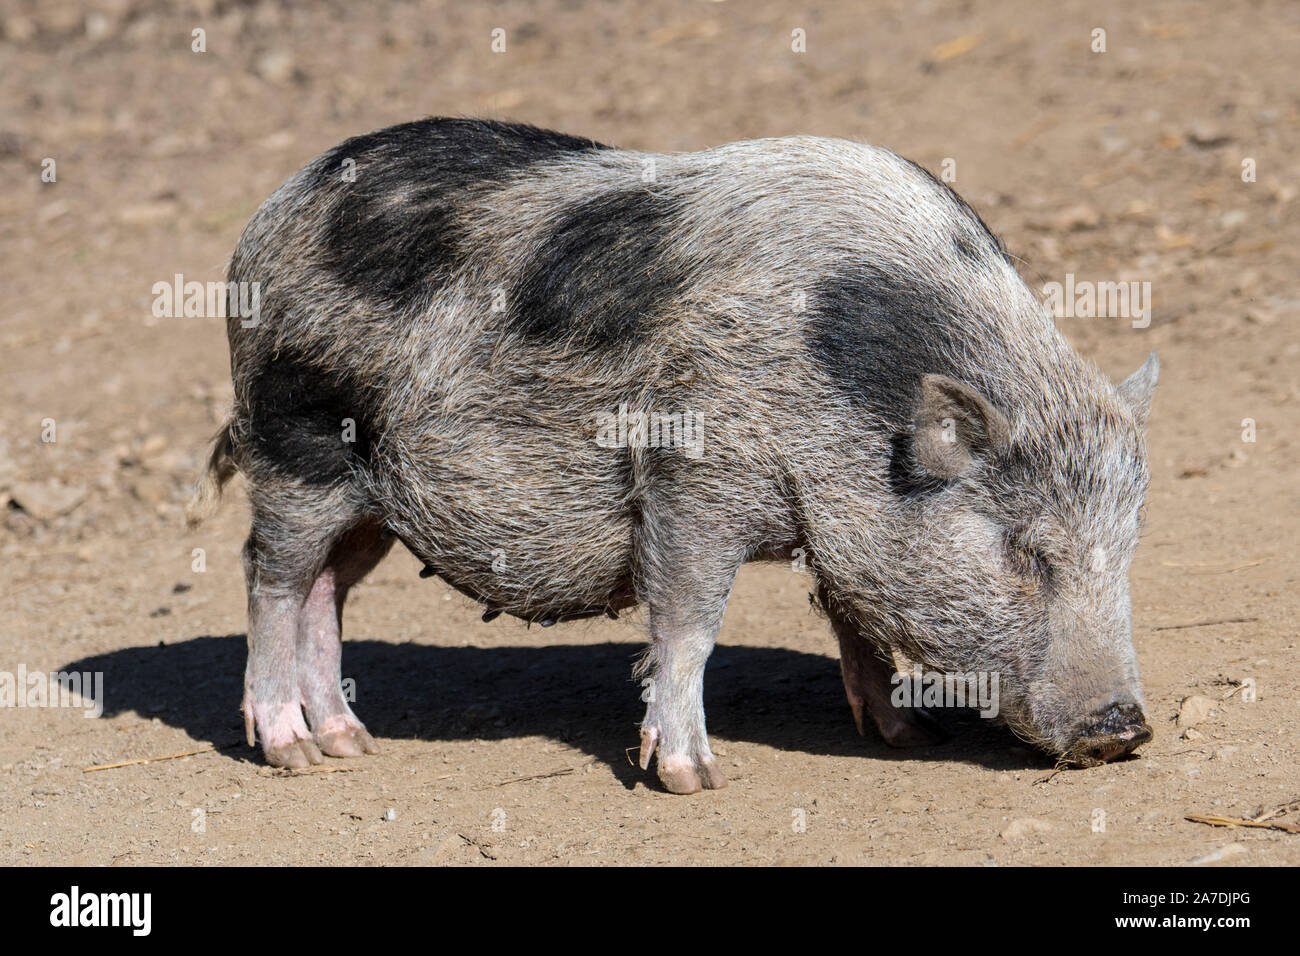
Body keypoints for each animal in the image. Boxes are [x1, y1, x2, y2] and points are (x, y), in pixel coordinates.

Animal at [188, 118, 1159, 793]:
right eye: (1024, 553)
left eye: (1128, 549)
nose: (1128, 729)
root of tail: (270, 213)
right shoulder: (692, 477)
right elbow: (689, 622)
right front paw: (697, 779)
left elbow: (854, 618)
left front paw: (911, 737)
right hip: (296, 445)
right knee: (269, 577)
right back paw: (293, 755)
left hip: (370, 505)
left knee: (326, 591)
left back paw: (352, 744)